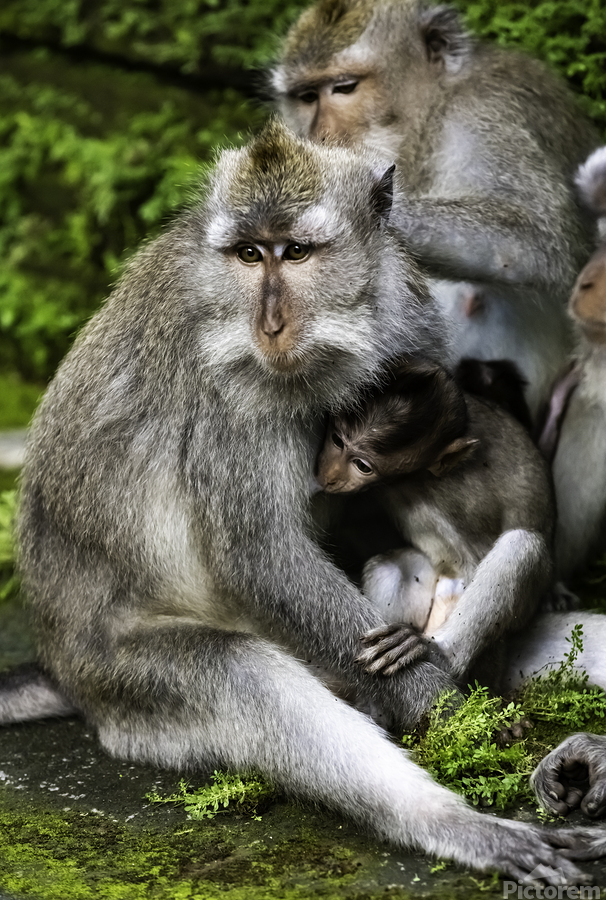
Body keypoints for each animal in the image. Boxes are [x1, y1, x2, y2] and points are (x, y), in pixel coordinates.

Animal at [271, 0, 599, 418]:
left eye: (344, 87)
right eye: (307, 96)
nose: (321, 135)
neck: (432, 117)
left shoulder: (488, 111)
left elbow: (535, 239)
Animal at [315, 360, 554, 683]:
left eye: (362, 466)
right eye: (337, 440)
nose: (328, 475)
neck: (413, 479)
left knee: (522, 545)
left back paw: (441, 653)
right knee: (390, 565)